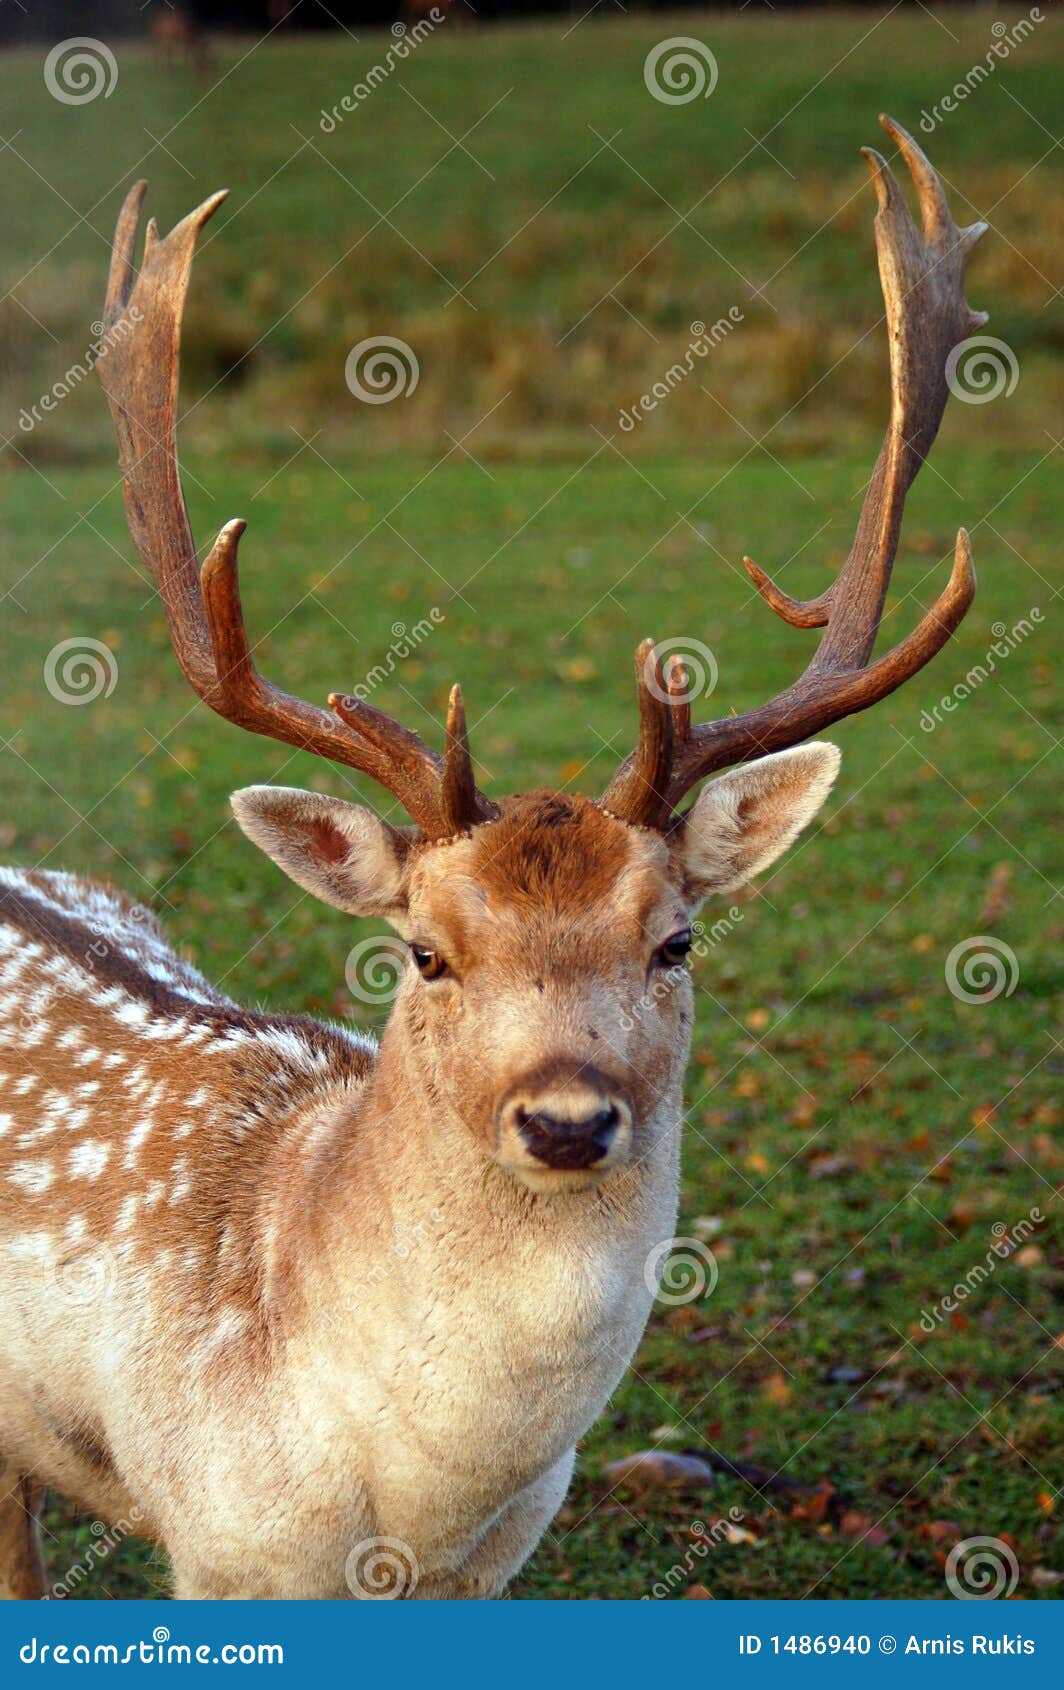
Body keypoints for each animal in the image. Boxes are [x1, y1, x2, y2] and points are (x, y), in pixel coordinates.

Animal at [0, 118, 985, 1600]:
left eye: (675, 936)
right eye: (423, 950)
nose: (567, 1118)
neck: (412, 1507)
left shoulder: (501, 1558)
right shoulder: (223, 1549)